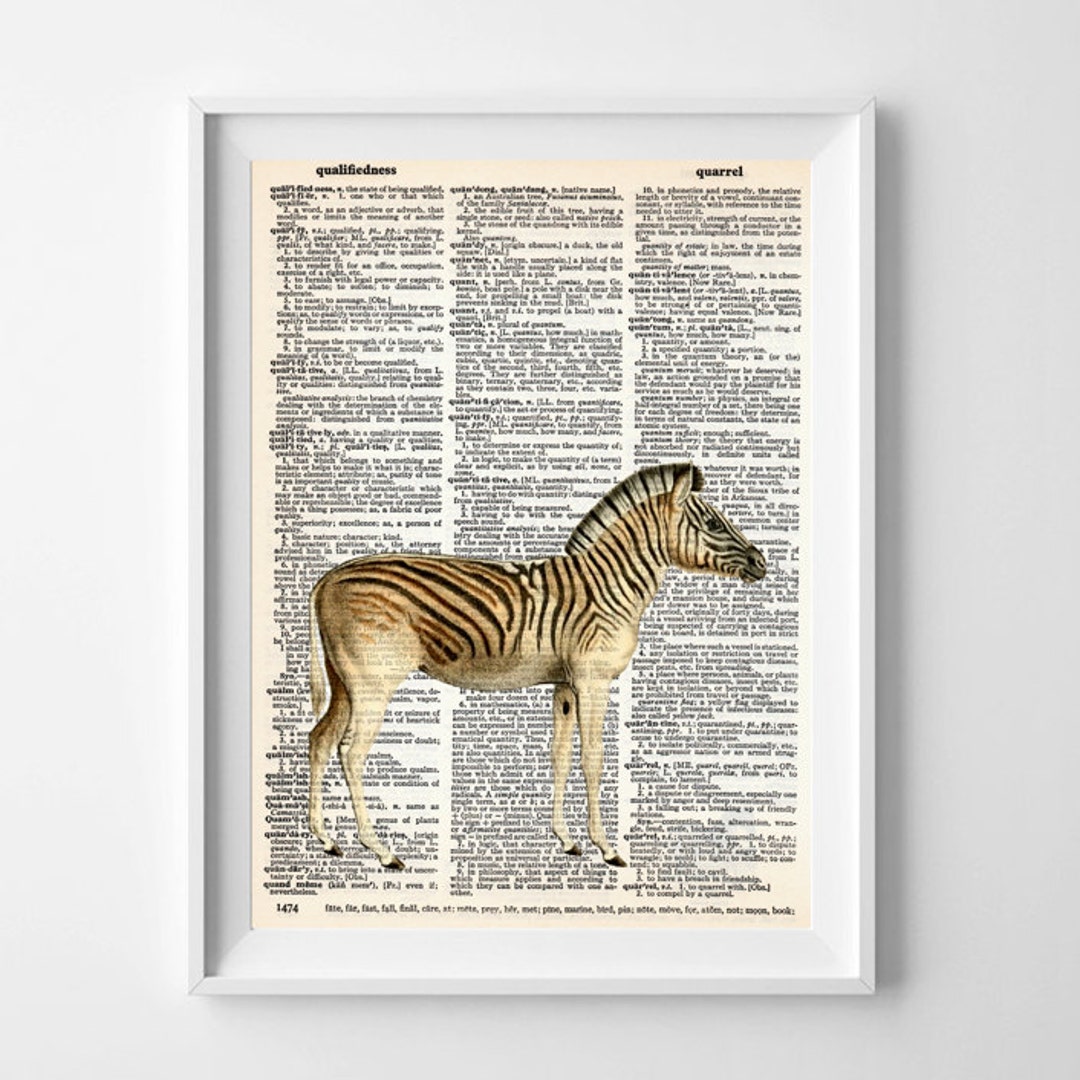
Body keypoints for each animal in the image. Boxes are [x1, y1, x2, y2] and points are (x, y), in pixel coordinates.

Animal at [307, 462, 767, 869]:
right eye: (712, 523)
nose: (762, 562)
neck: (608, 587)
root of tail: (326, 579)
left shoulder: (564, 685)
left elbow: (559, 756)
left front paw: (566, 840)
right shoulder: (592, 681)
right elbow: (593, 758)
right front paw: (607, 848)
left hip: (345, 681)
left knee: (320, 740)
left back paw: (327, 840)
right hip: (373, 682)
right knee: (351, 752)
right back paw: (382, 851)